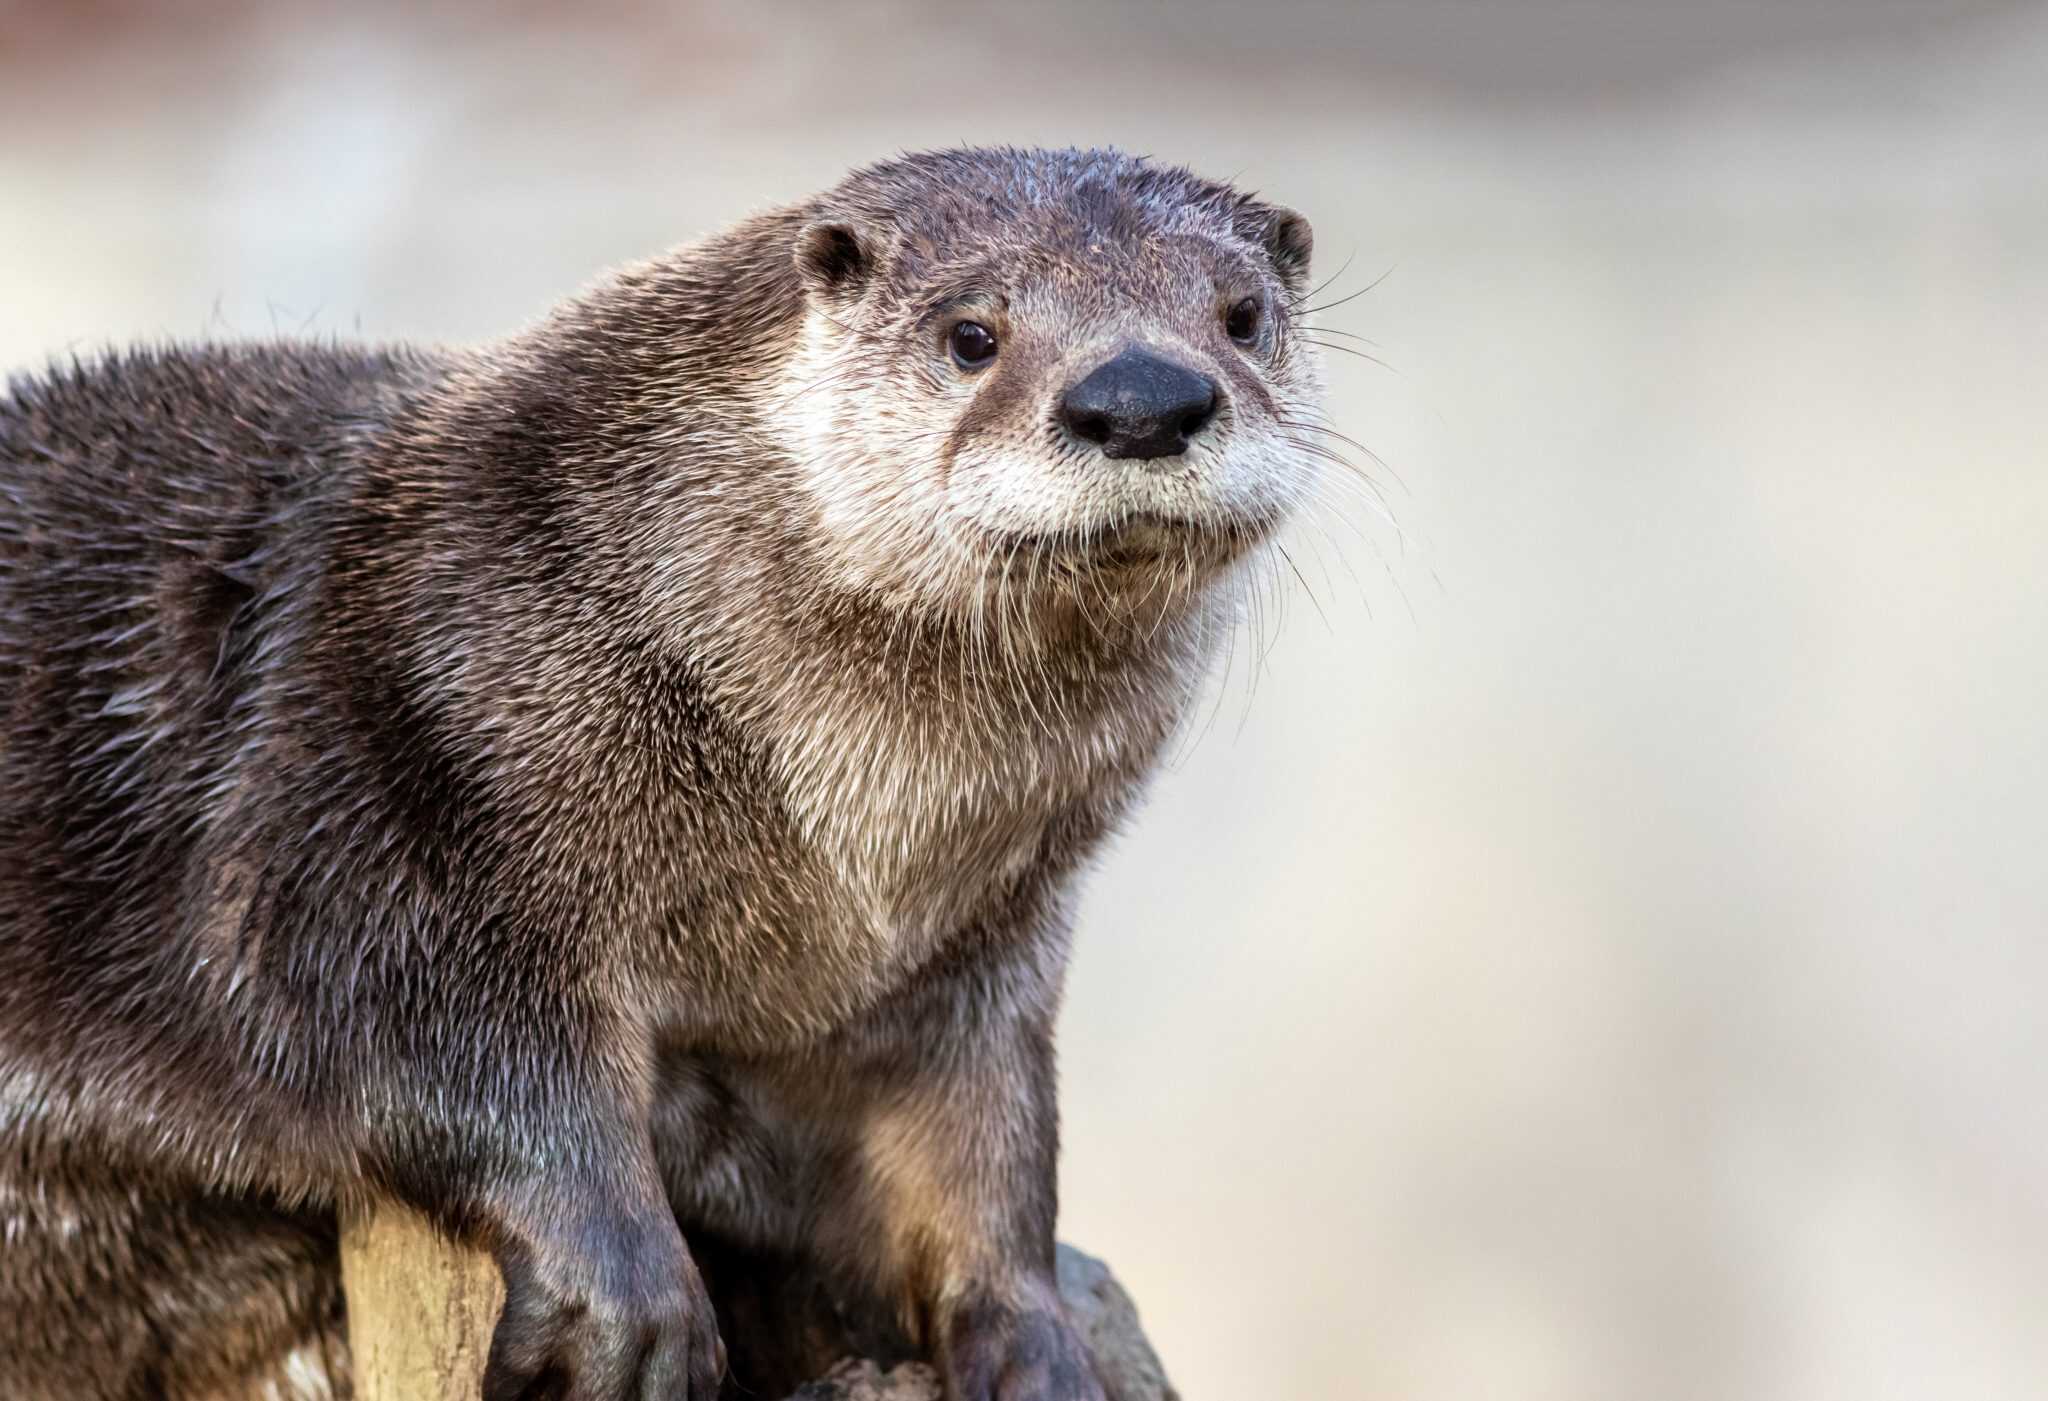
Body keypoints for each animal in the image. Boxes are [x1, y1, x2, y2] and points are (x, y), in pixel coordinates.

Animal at [0, 147, 1324, 1400]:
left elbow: (985, 1139)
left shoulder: (977, 949)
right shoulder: (363, 782)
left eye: (1240, 315)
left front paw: (1035, 1338)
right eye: (970, 335)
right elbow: (390, 1020)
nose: (1142, 398)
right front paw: (626, 1294)